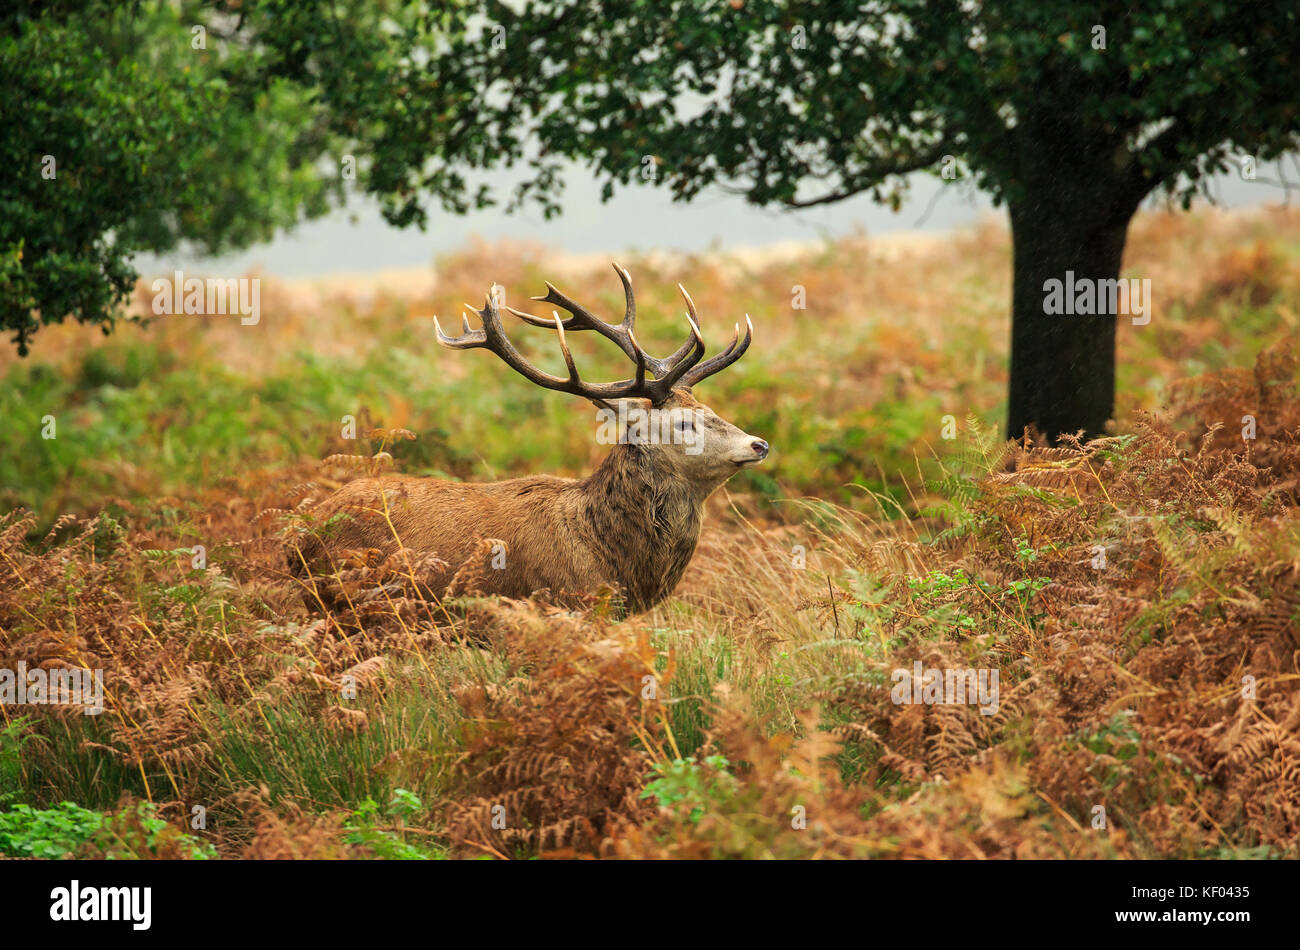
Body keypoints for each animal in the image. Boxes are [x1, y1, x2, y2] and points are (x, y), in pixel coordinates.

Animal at [288, 264, 768, 614]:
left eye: (713, 409)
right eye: (684, 424)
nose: (758, 444)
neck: (610, 559)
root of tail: (297, 540)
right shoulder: (564, 604)